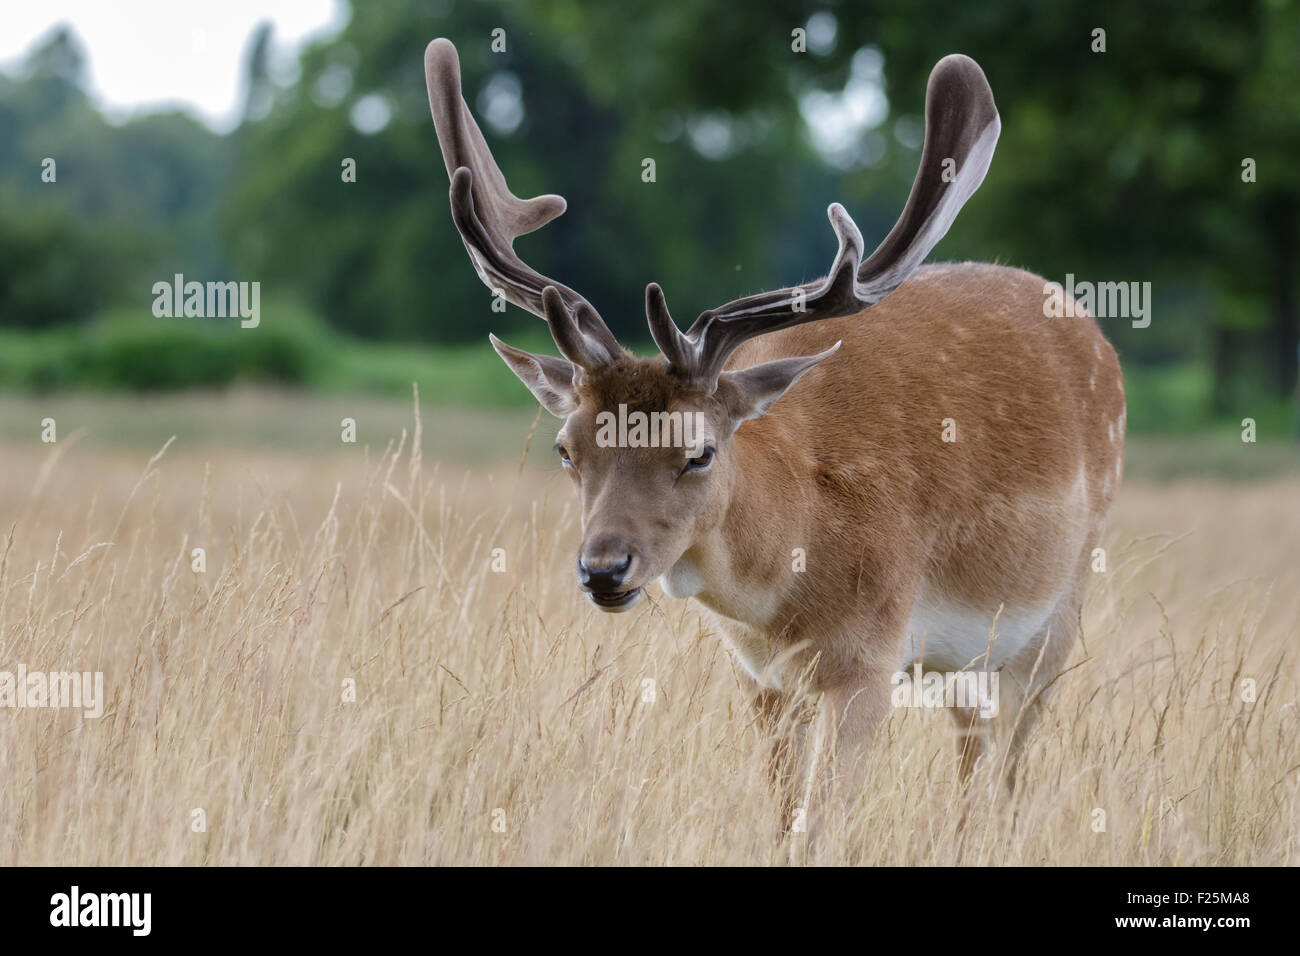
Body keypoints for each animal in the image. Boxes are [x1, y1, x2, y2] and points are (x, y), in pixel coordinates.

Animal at [424, 37, 1125, 833]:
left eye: (698, 451)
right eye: (566, 449)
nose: (604, 569)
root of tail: (1090, 326)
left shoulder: (872, 658)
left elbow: (820, 825)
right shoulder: (760, 676)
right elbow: (783, 814)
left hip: (1057, 615)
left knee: (1010, 771)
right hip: (972, 662)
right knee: (974, 761)